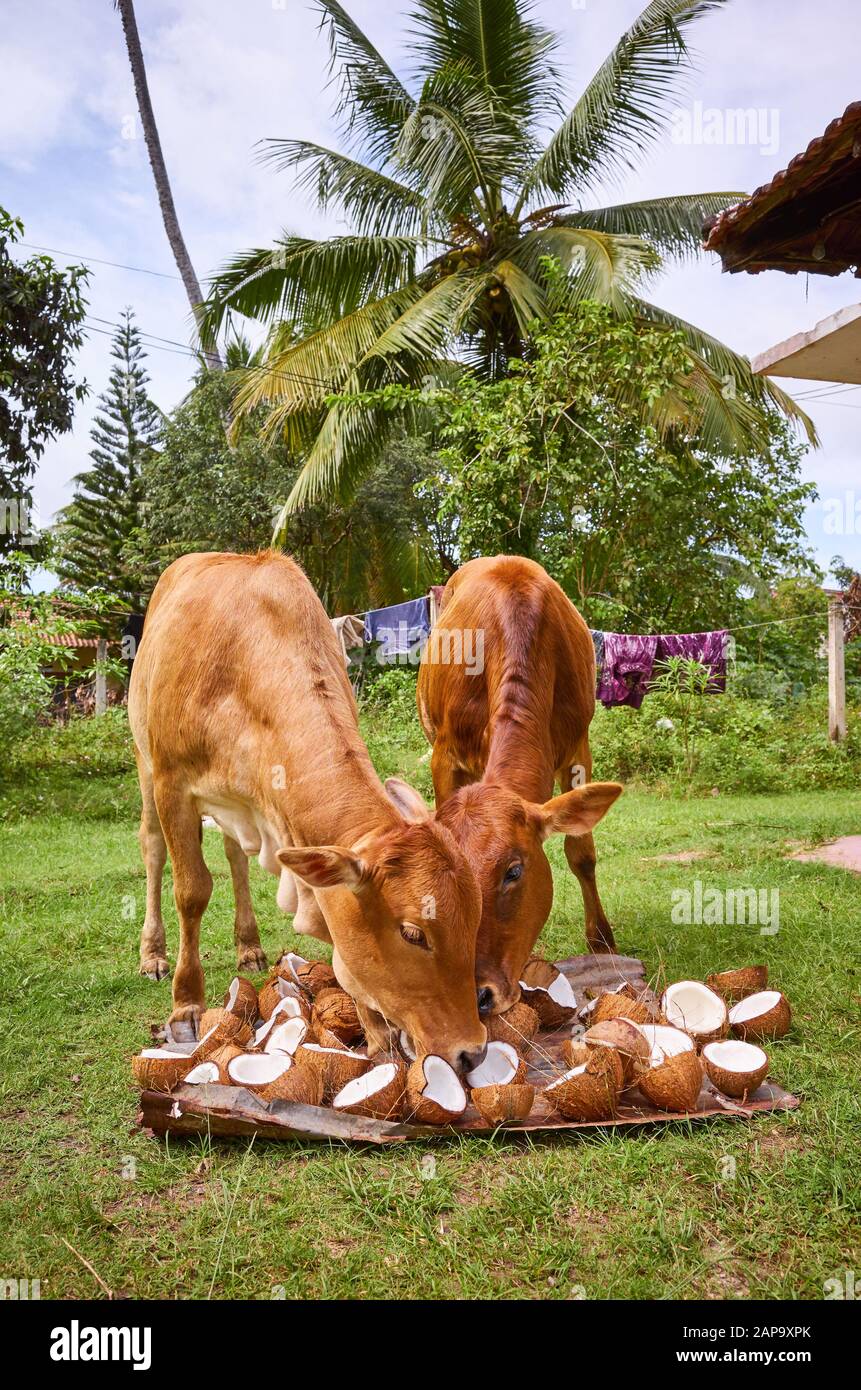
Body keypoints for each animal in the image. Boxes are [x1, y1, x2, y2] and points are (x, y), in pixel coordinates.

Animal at [128, 551, 487, 1070]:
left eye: (475, 918)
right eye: (413, 934)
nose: (472, 1051)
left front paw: (375, 1032)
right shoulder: (172, 784)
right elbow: (191, 891)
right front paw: (186, 1005)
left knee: (235, 856)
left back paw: (250, 947)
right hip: (144, 763)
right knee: (154, 850)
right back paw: (153, 954)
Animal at [416, 555, 622, 1016]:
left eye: (514, 871)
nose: (475, 994)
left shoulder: (578, 745)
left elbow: (581, 853)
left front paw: (601, 942)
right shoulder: (444, 754)